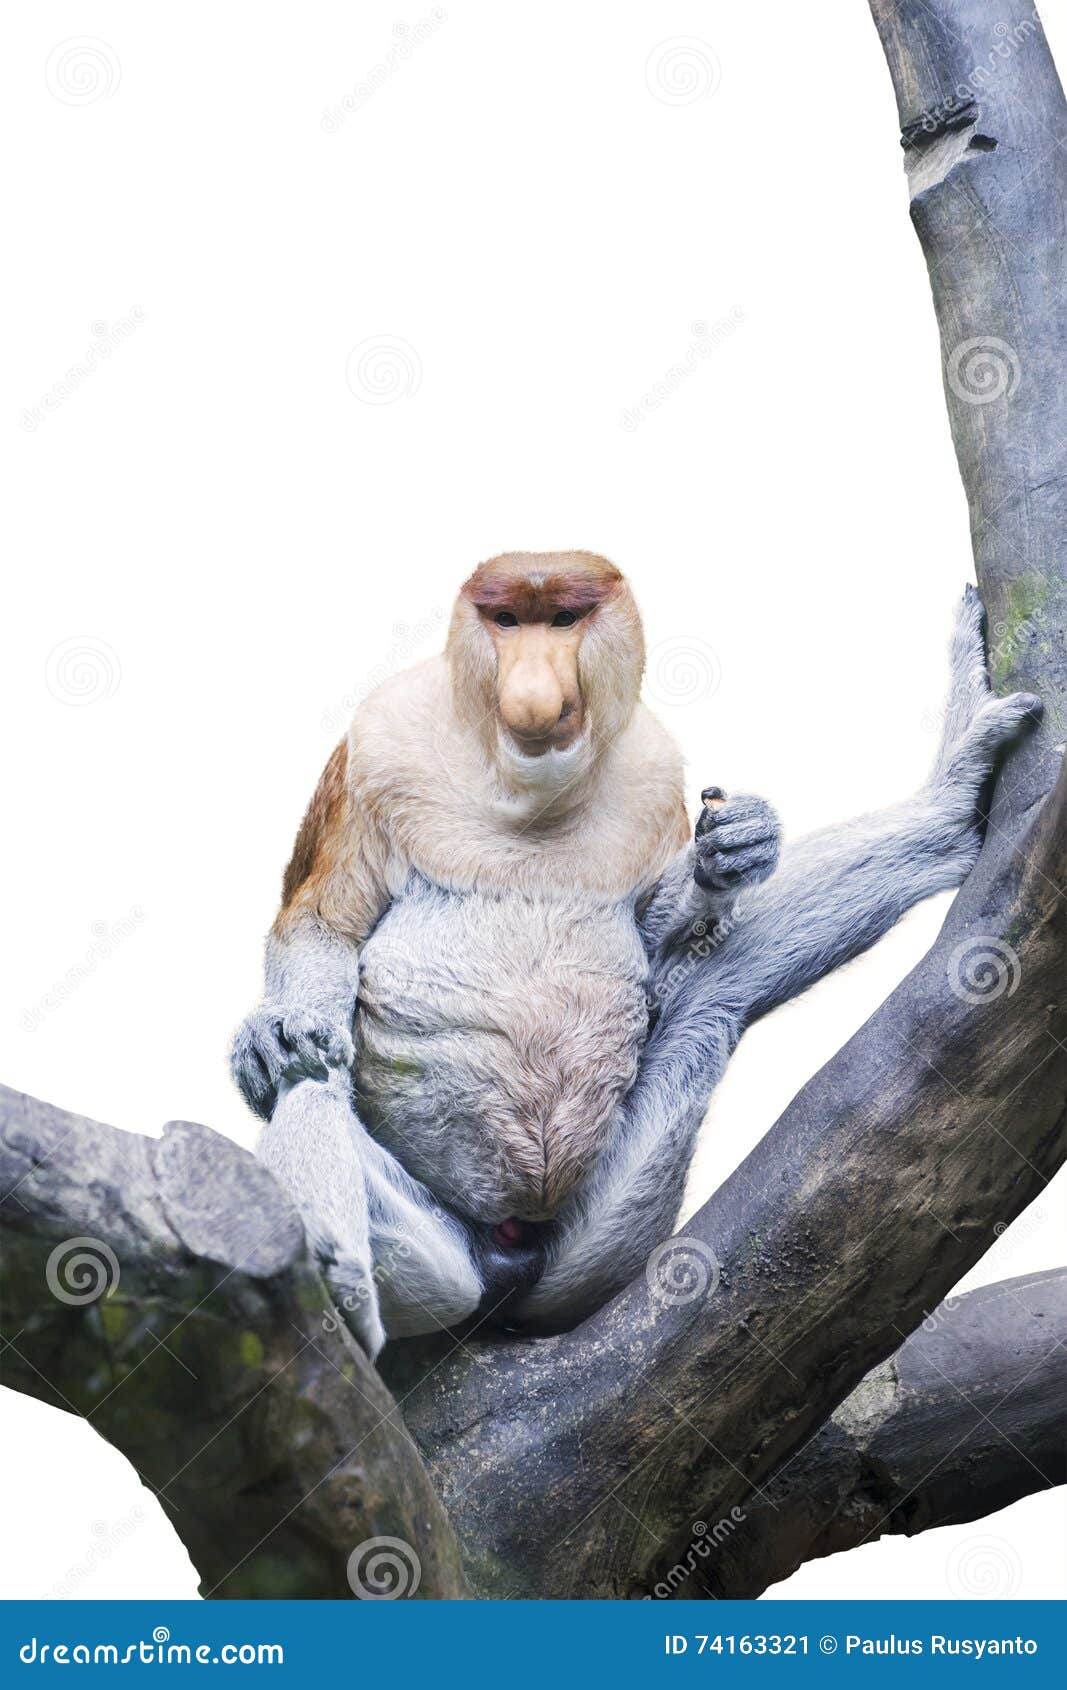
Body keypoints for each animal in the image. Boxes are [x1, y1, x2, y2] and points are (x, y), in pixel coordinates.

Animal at [231, 553, 1040, 1357]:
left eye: (564, 619)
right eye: (506, 620)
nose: (533, 694)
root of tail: (508, 1253)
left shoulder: (651, 767)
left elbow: (664, 942)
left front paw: (735, 848)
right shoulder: (376, 738)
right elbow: (322, 927)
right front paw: (267, 1037)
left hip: (599, 1237)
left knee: (722, 988)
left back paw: (945, 808)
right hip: (451, 1260)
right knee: (315, 1070)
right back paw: (335, 1277)